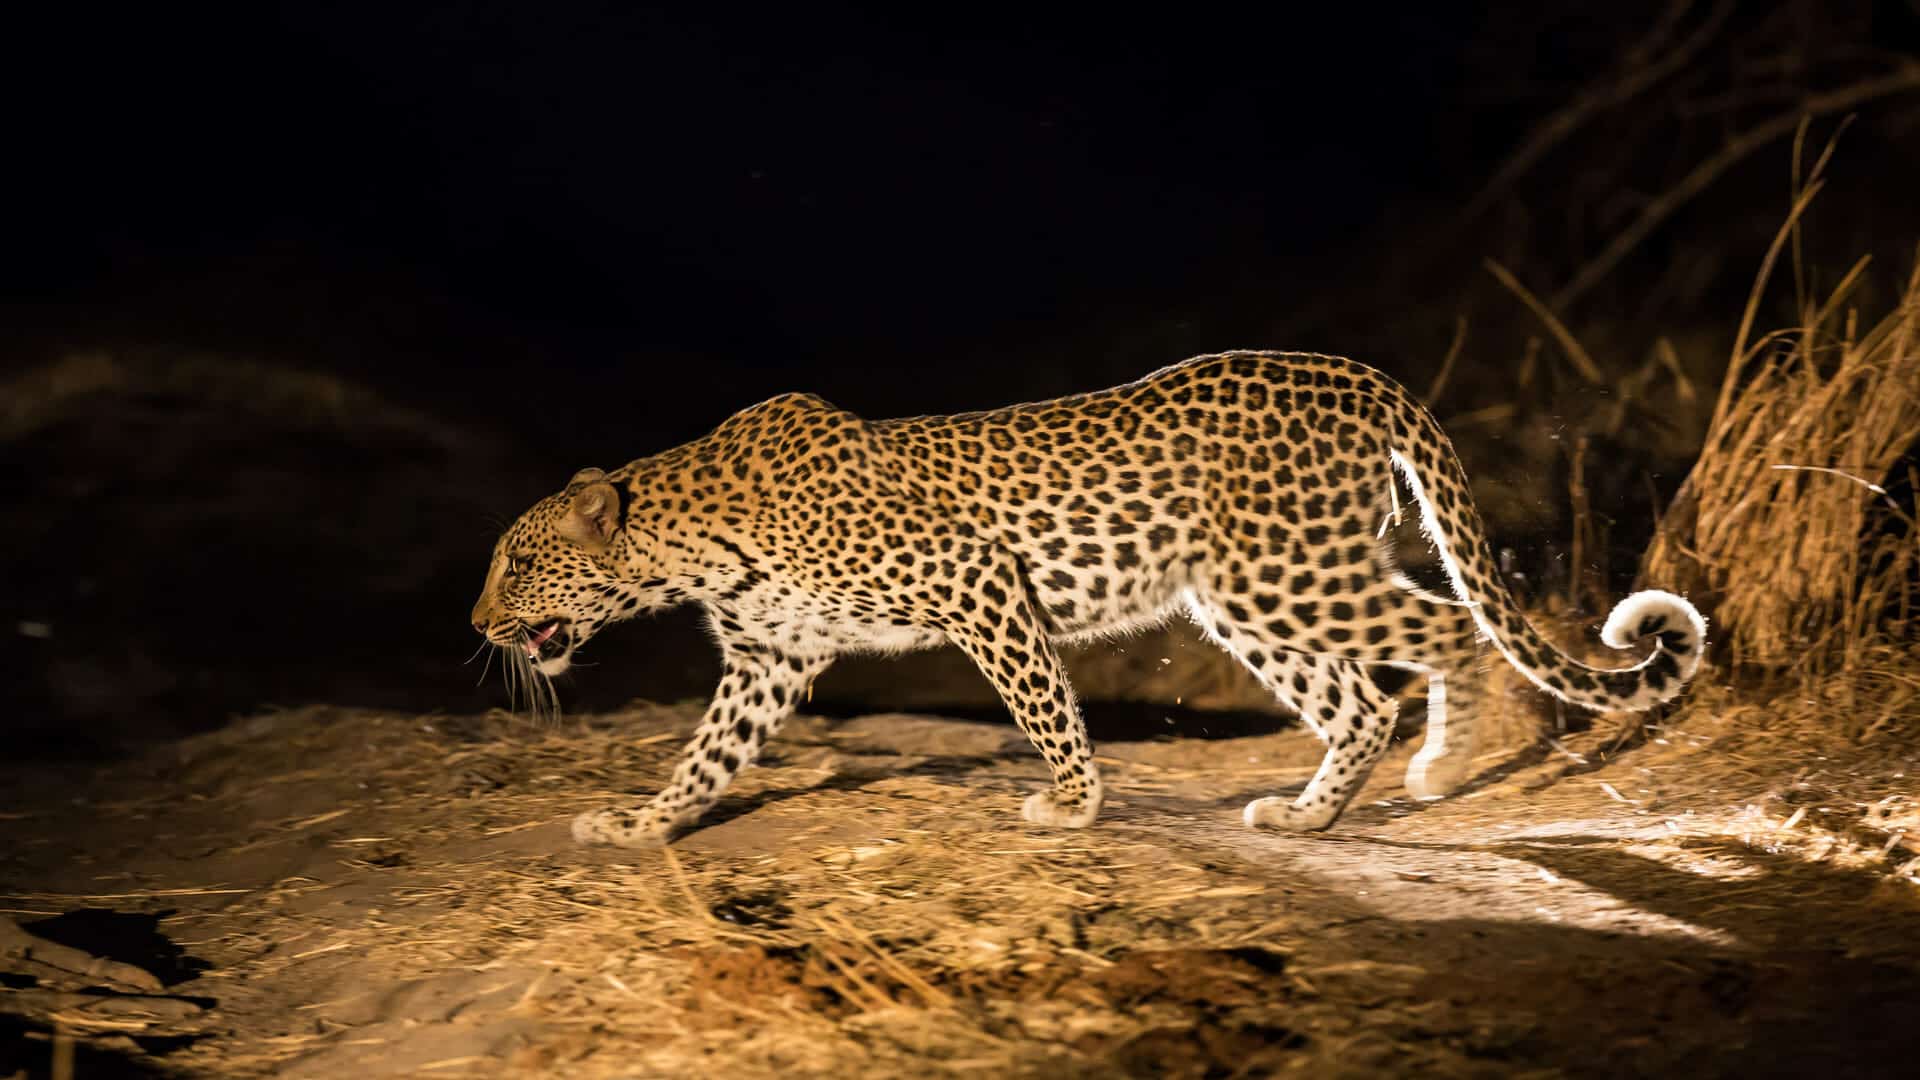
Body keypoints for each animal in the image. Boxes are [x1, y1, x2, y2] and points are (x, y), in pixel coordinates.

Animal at [469, 351, 1706, 846]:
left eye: (517, 565)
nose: (476, 624)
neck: (686, 545)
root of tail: (1358, 373)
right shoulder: (770, 659)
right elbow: (705, 756)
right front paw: (642, 824)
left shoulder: (977, 584)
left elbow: (1042, 704)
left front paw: (1072, 804)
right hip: (1244, 594)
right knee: (1360, 698)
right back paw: (1309, 814)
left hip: (1280, 572)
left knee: (1445, 631)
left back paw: (1447, 767)